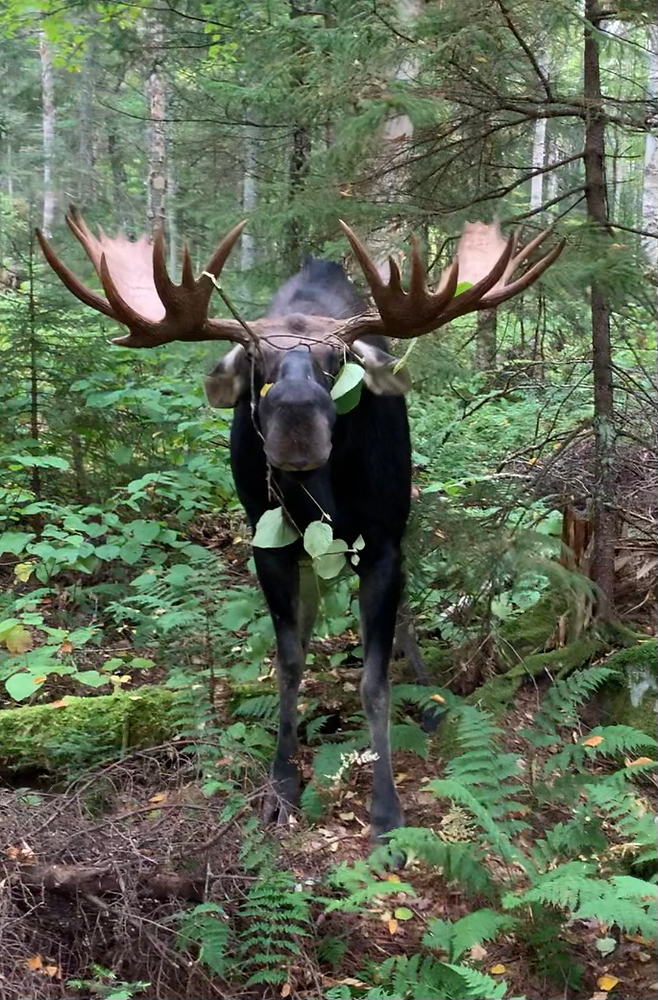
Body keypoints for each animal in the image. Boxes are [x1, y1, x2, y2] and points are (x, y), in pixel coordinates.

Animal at [37, 208, 563, 843]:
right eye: (254, 360)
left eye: (336, 362)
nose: (294, 421)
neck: (320, 493)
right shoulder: (268, 546)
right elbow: (288, 663)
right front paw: (282, 784)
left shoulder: (383, 544)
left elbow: (375, 679)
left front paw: (386, 812)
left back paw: (430, 697)